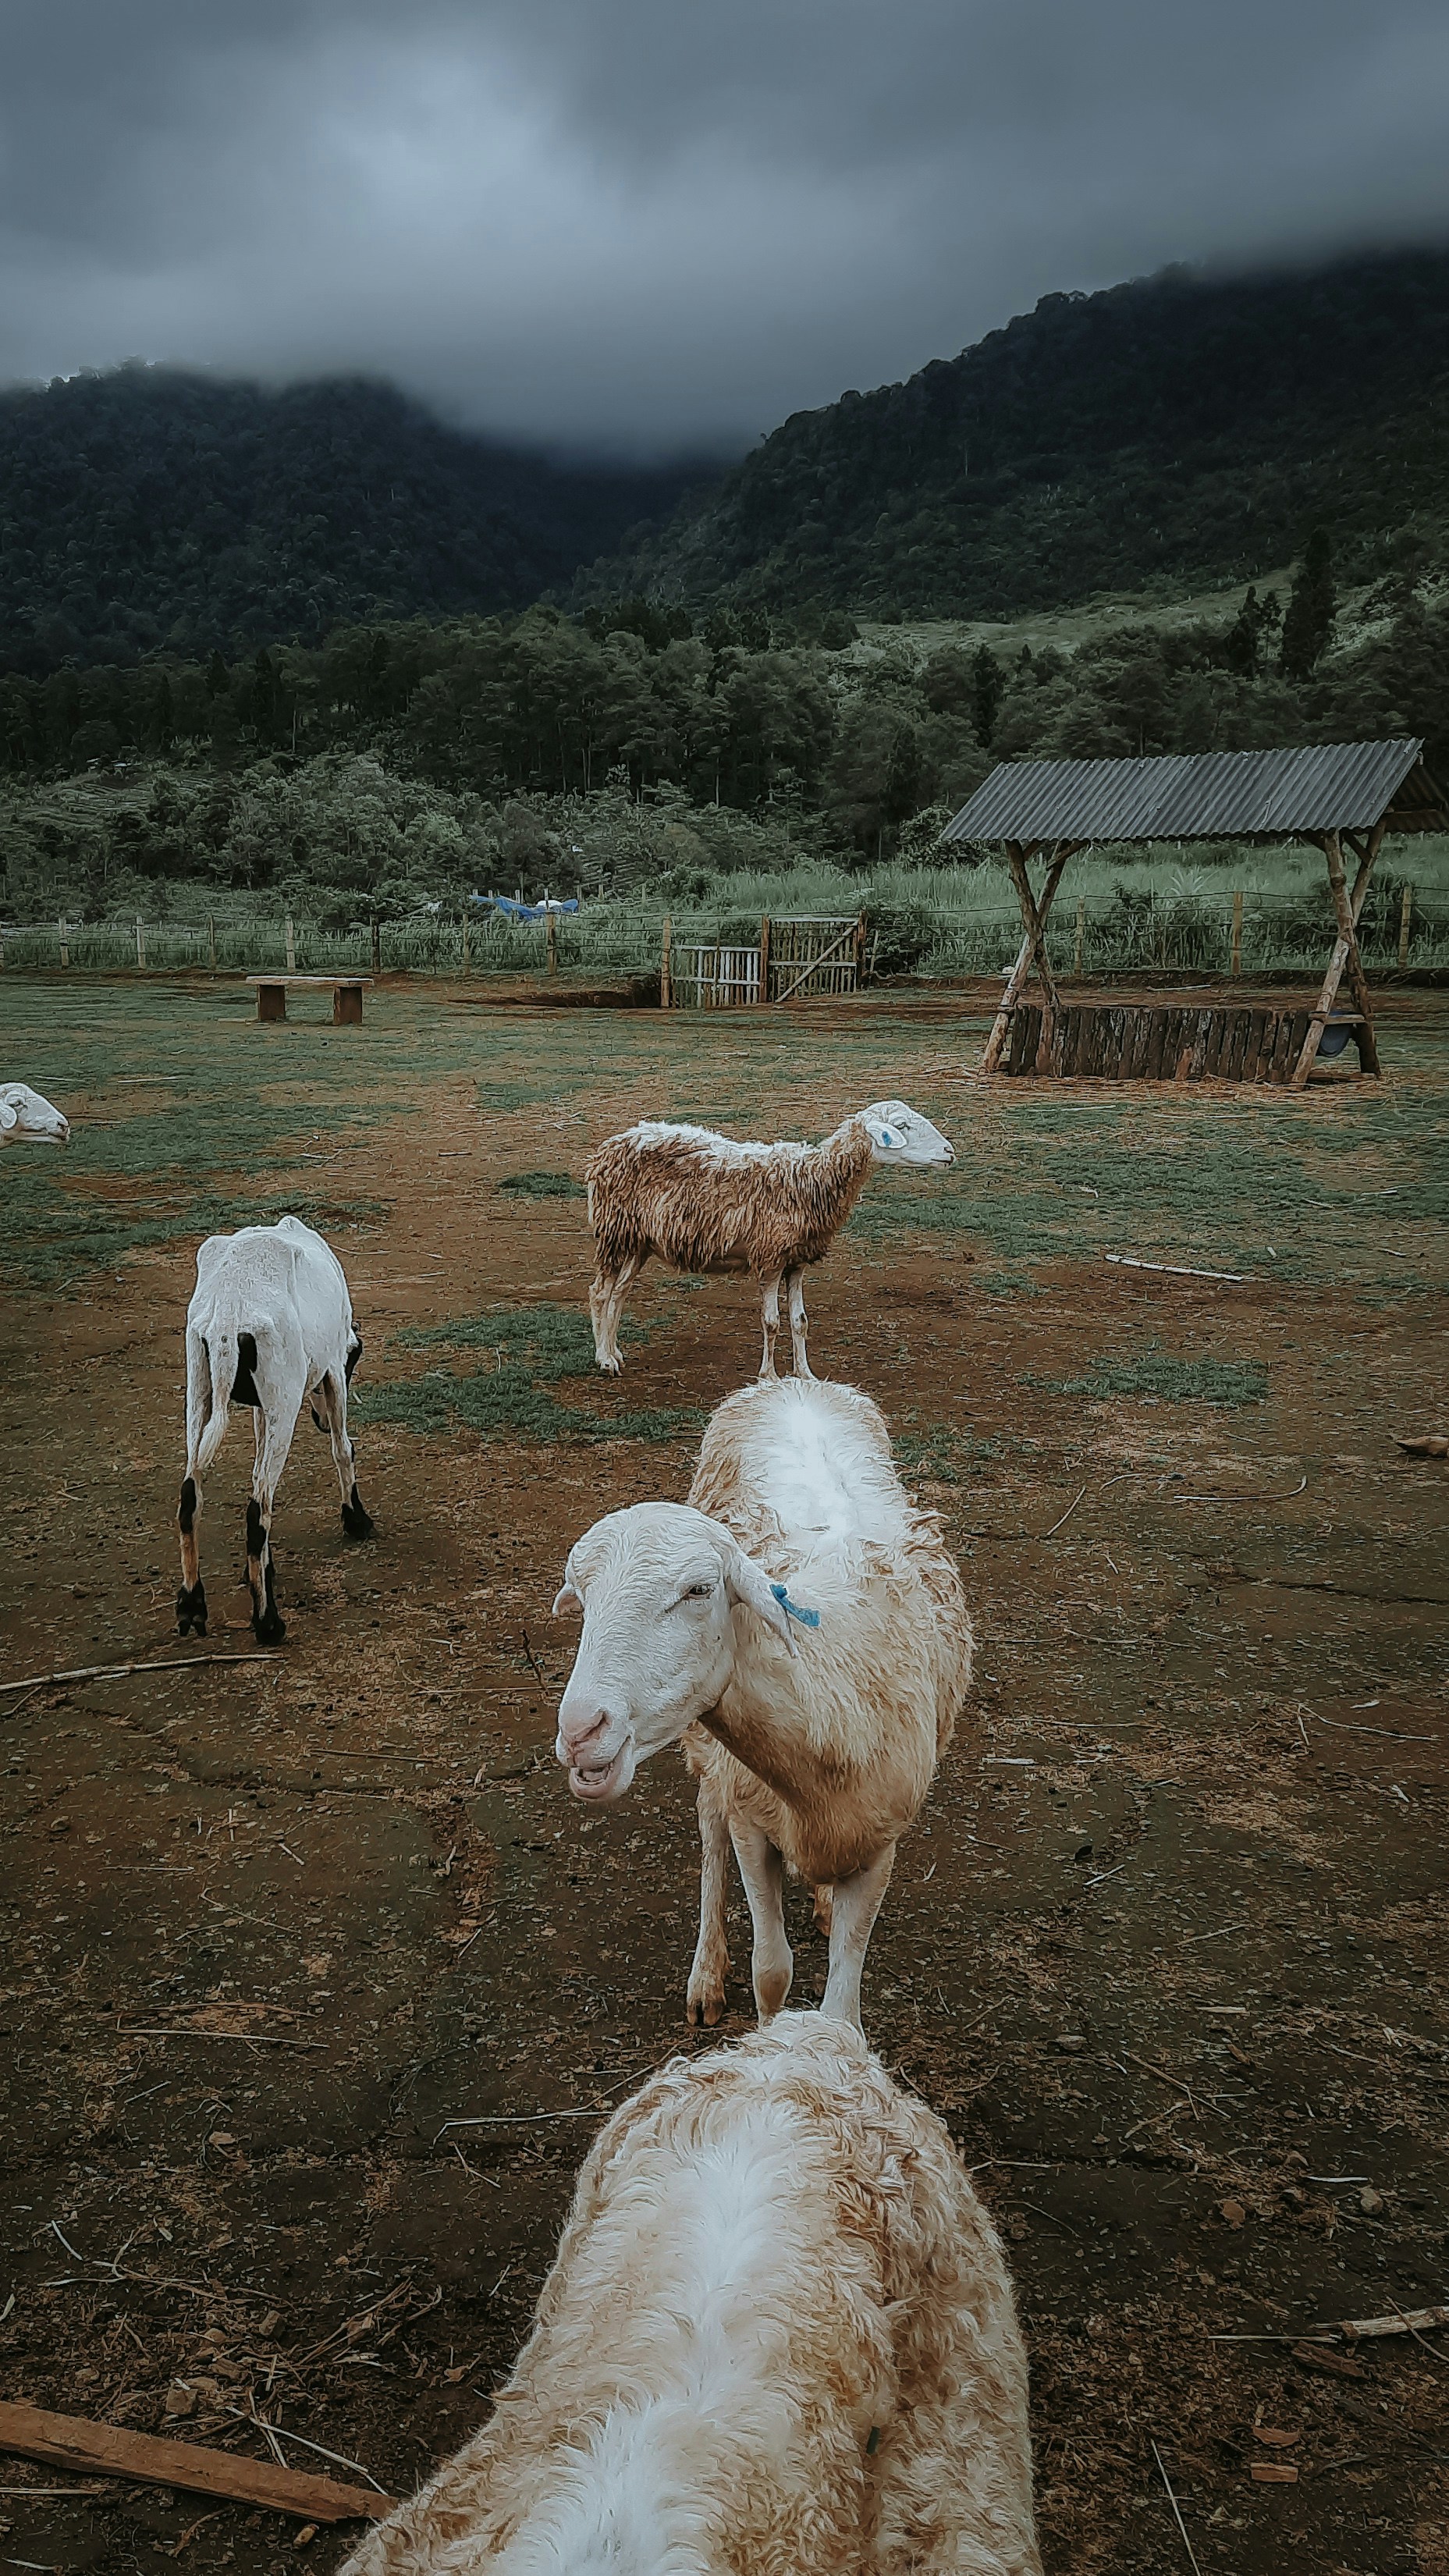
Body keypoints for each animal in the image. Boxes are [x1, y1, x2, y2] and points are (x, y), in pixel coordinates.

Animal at [176, 1214, 373, 1645]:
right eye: (354, 1362)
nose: (318, 1423)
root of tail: (229, 1314)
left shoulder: (260, 1406)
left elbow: (254, 1474)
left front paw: (261, 1572)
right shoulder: (333, 1370)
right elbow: (343, 1449)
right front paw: (357, 1519)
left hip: (199, 1388)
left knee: (191, 1496)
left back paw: (192, 1606)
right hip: (285, 1399)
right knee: (257, 1510)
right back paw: (267, 1622)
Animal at [553, 1376, 972, 2031]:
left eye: (699, 1589)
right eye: (583, 1597)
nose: (579, 1732)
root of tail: (789, 1380)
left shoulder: (880, 1848)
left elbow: (840, 2009)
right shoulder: (751, 1823)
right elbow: (771, 1970)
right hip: (708, 1754)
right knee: (708, 1829)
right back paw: (705, 1972)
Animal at [586, 1099, 953, 1379]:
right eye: (903, 1126)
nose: (950, 1152)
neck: (811, 1180)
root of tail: (611, 1144)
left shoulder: (797, 1261)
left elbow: (800, 1322)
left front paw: (805, 1374)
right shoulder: (770, 1258)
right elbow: (772, 1323)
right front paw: (769, 1376)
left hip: (639, 1240)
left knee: (620, 1292)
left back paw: (615, 1352)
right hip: (613, 1229)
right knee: (601, 1292)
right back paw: (604, 1360)